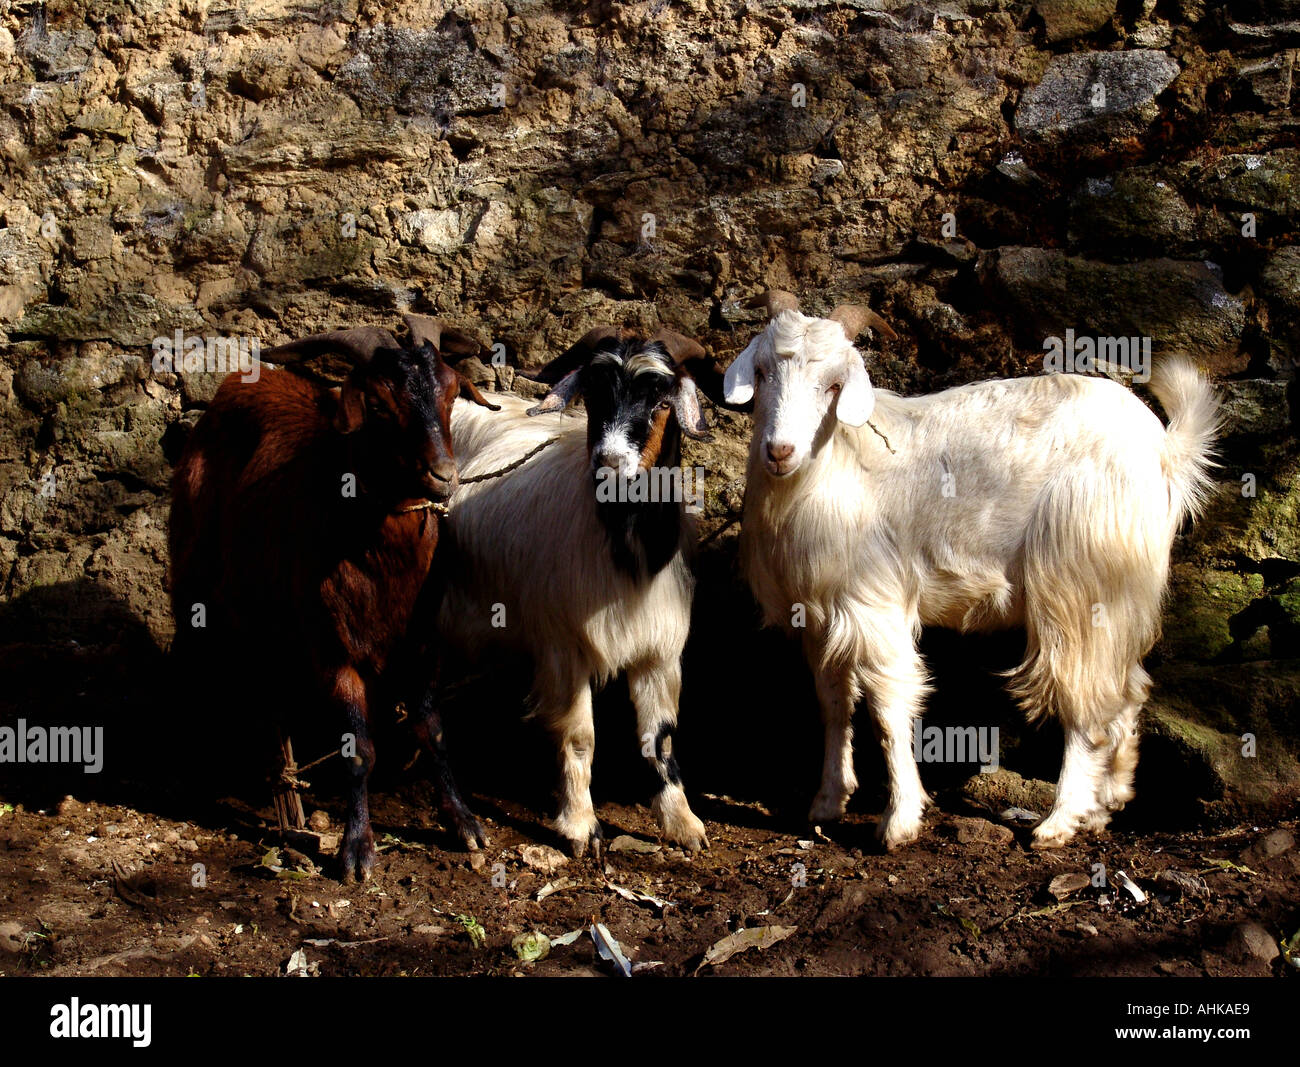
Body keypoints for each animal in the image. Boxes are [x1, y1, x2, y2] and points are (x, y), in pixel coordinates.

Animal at [169, 314, 498, 880]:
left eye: (452, 392)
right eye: (379, 404)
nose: (443, 476)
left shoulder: (424, 641)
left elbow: (431, 729)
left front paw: (463, 822)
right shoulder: (331, 648)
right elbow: (358, 749)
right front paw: (356, 849)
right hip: (199, 584)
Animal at [432, 326, 713, 855]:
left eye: (661, 397)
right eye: (595, 393)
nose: (609, 464)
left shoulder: (659, 648)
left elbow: (660, 736)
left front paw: (682, 822)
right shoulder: (564, 644)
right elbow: (581, 736)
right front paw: (581, 825)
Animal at [723, 291, 1219, 849]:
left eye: (833, 384)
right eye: (762, 371)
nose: (780, 451)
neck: (837, 465)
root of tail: (1165, 449)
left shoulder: (875, 604)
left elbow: (888, 710)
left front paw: (900, 820)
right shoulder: (818, 611)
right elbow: (834, 704)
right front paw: (828, 801)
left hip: (1080, 578)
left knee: (1084, 700)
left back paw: (1060, 820)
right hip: (1122, 593)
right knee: (1128, 689)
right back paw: (1106, 801)